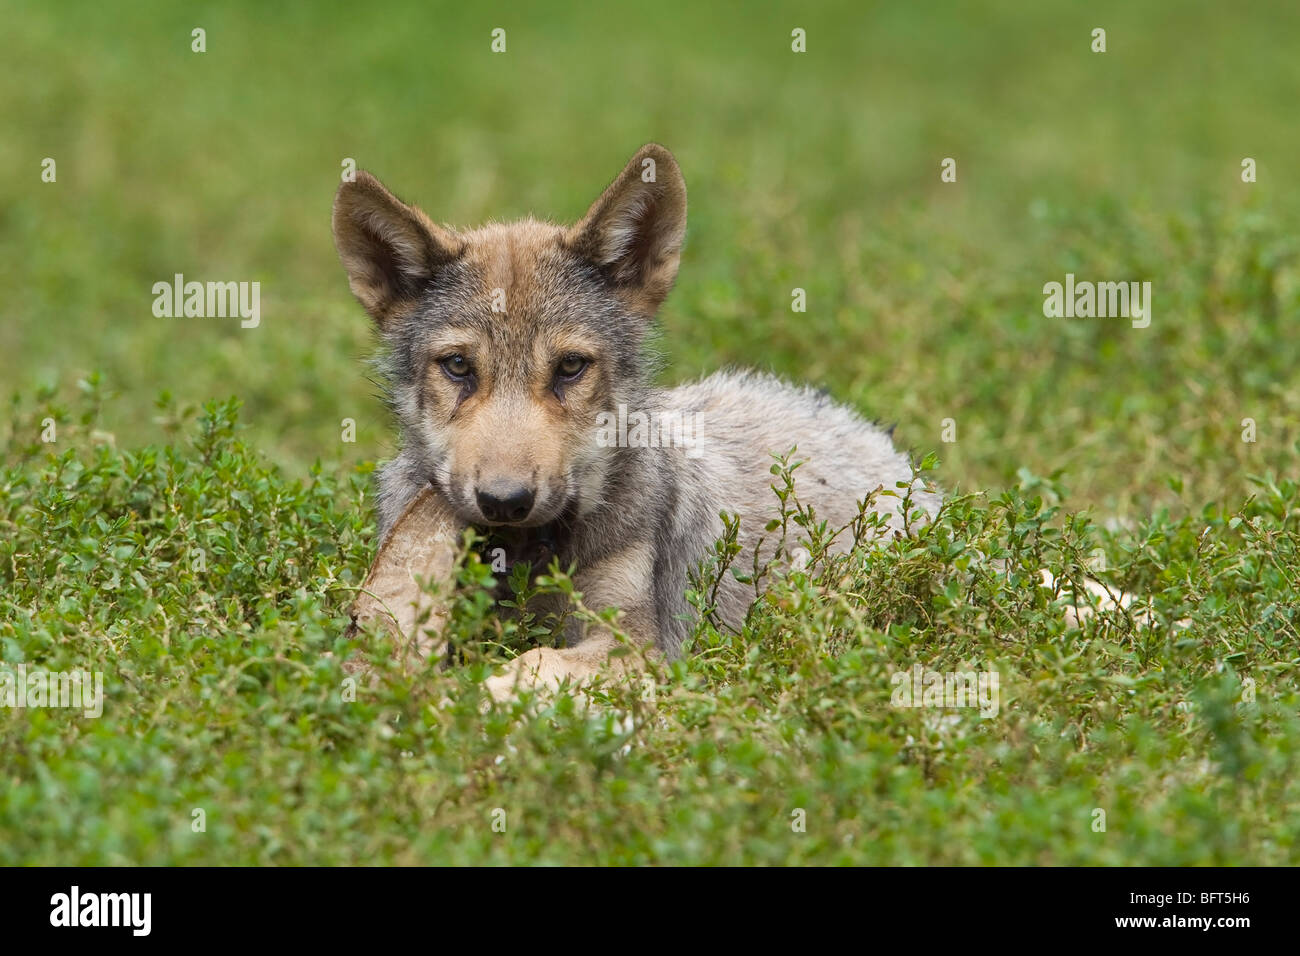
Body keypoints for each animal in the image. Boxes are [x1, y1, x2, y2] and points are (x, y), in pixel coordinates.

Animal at [333, 144, 942, 699]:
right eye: (459, 366)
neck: (528, 556)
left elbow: (528, 663)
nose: (505, 501)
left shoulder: (636, 643)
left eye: (570, 367)